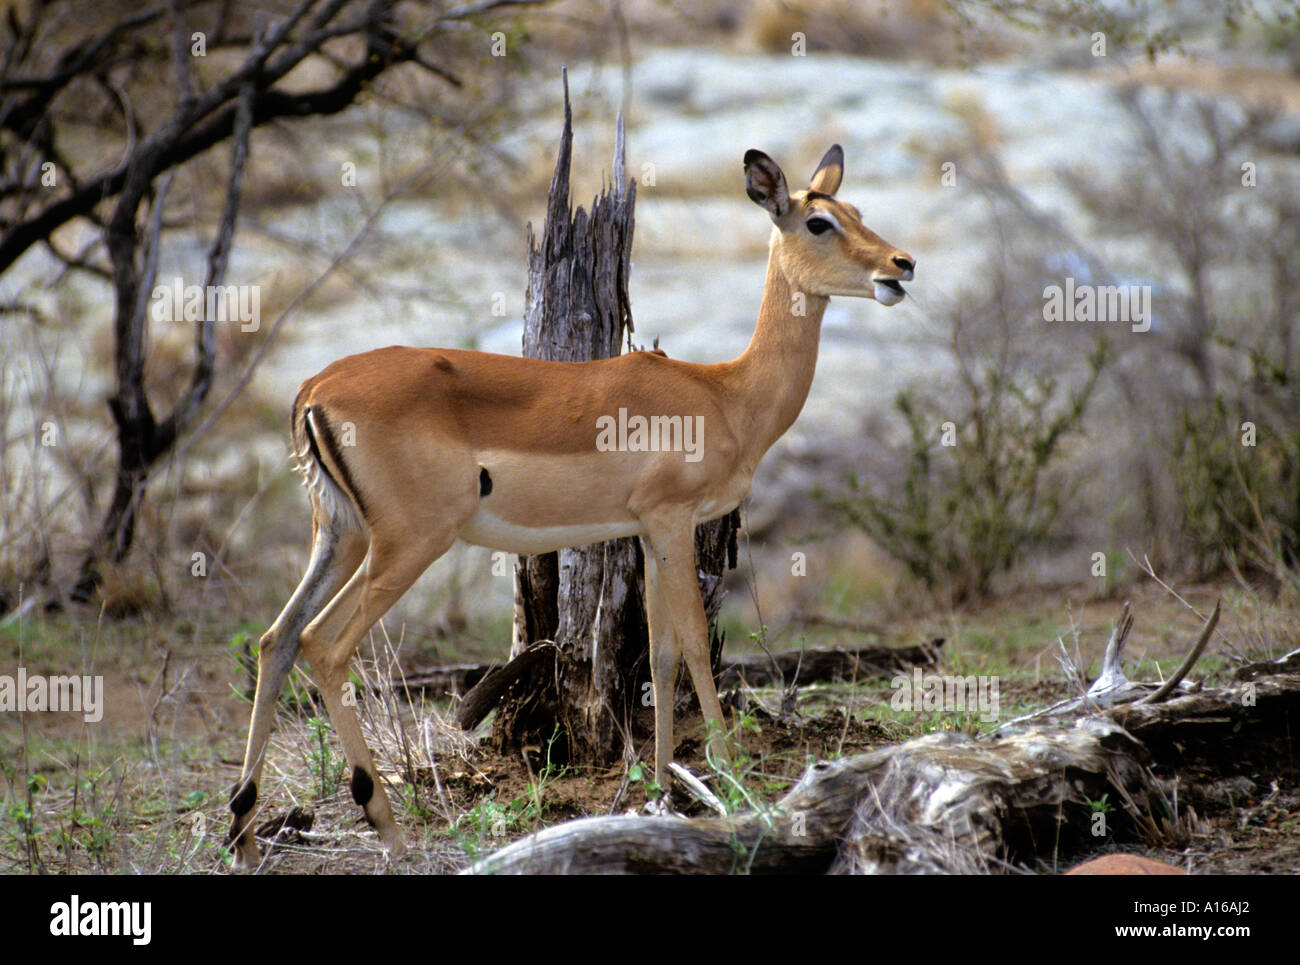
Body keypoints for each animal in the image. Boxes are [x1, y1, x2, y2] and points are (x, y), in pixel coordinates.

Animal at [228, 144, 915, 866]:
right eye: (818, 221)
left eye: (854, 209)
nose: (902, 266)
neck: (724, 394)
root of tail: (313, 387)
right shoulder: (672, 522)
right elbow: (697, 646)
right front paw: (733, 781)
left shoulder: (647, 533)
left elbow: (662, 653)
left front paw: (664, 790)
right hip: (407, 544)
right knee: (323, 643)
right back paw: (386, 827)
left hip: (342, 537)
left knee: (276, 638)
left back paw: (244, 832)